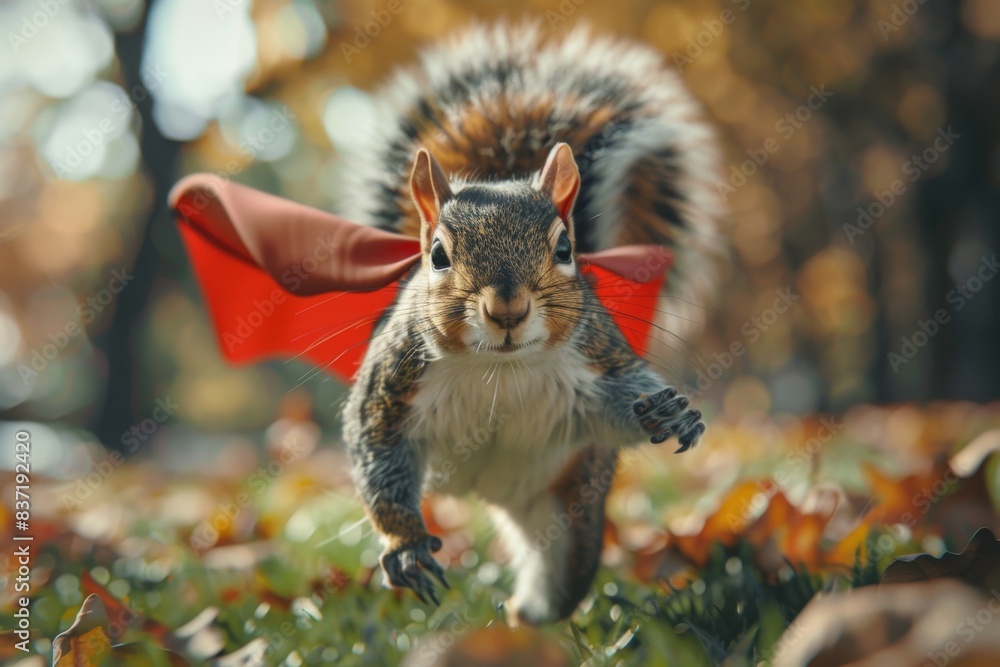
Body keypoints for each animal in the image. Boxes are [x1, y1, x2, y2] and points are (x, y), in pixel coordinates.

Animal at [339, 23, 722, 626]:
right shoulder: (391, 384)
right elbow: (376, 453)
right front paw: (406, 547)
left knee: (554, 586)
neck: (500, 368)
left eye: (565, 249)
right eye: (438, 256)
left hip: (567, 506)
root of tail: (486, 493)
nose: (507, 311)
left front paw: (669, 413)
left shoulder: (597, 356)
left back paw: (523, 622)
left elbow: (621, 403)